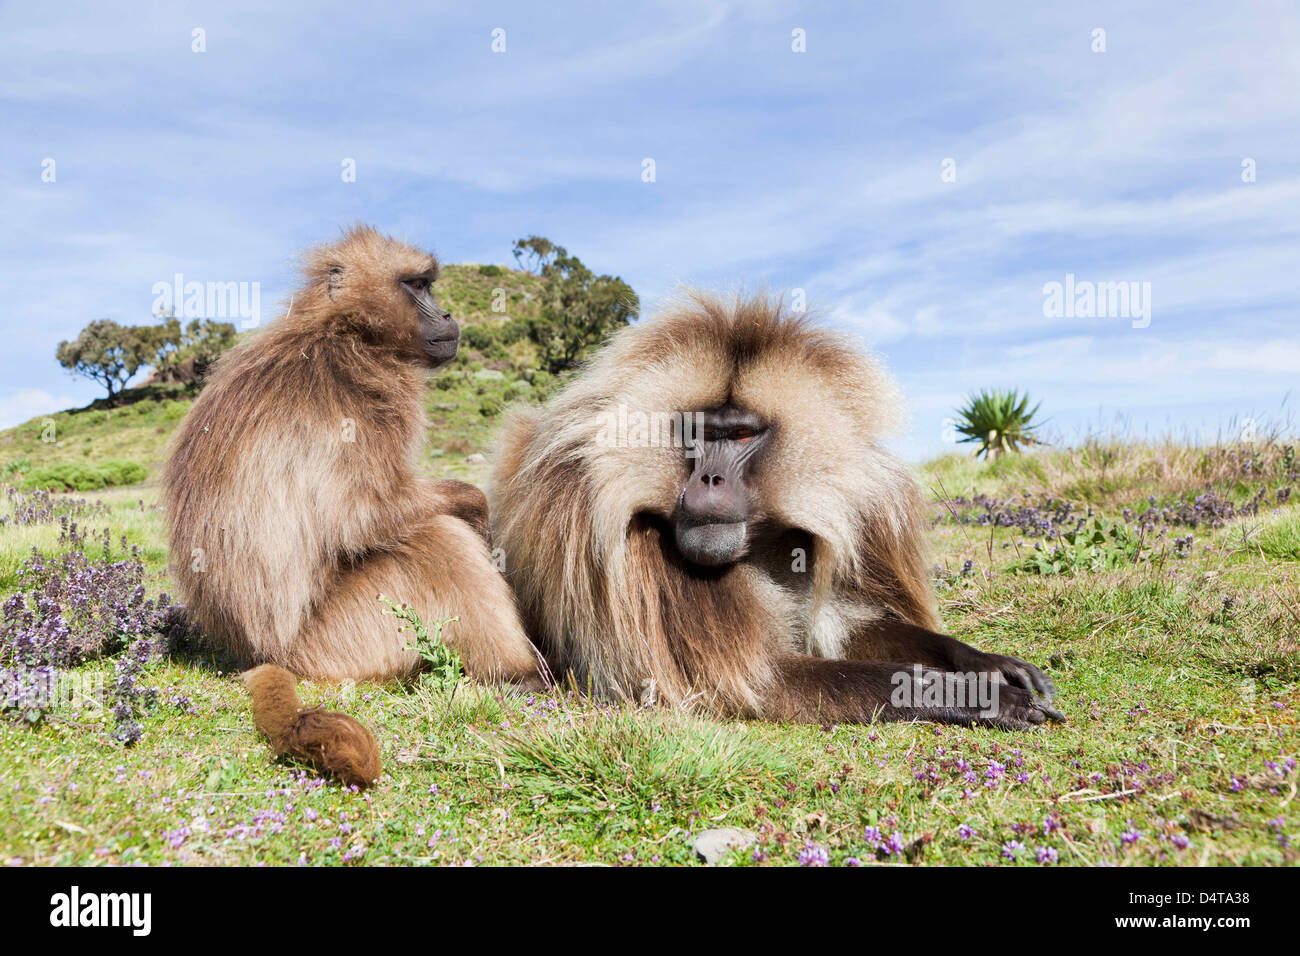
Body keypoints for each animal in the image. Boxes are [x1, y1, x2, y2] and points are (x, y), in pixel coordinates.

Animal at [162, 226, 542, 786]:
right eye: (416, 285)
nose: (449, 317)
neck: (344, 329)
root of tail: (262, 653)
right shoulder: (365, 391)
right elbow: (362, 516)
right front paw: (477, 508)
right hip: (341, 640)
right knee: (437, 540)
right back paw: (520, 675)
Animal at [488, 293, 1063, 730]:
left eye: (741, 435)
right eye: (699, 433)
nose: (710, 480)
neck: (761, 543)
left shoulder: (859, 518)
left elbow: (848, 628)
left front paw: (989, 666)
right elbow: (755, 683)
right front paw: (976, 695)